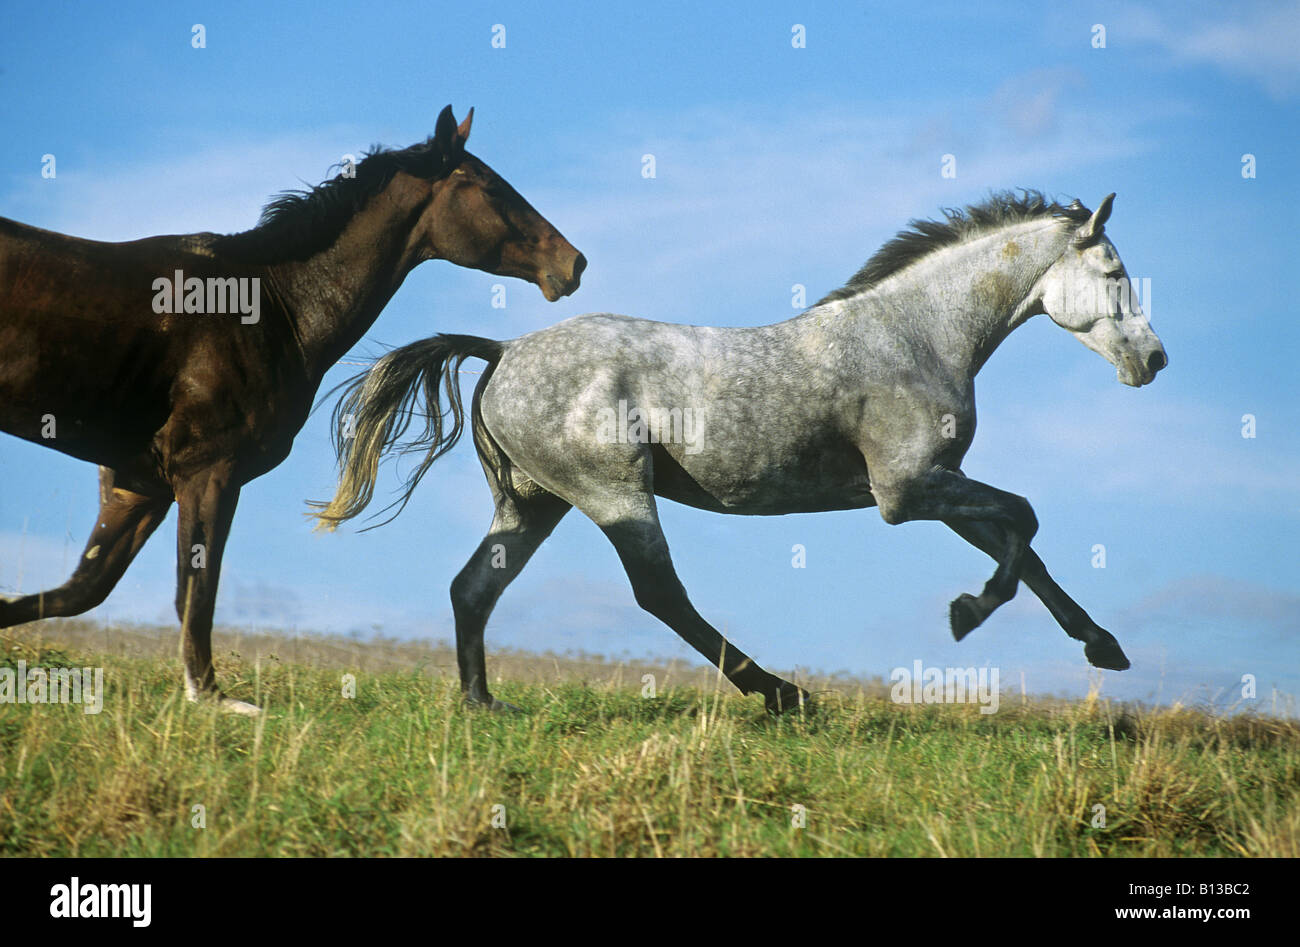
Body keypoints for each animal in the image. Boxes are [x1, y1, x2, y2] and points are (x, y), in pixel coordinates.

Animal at [0, 106, 585, 714]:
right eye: (491, 188)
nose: (573, 263)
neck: (269, 306)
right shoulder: (208, 472)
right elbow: (195, 593)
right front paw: (213, 697)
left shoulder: (138, 484)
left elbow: (78, 593)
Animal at [313, 190, 1166, 715]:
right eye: (1115, 270)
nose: (1154, 360)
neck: (914, 336)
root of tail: (503, 350)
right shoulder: (904, 491)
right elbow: (1026, 520)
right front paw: (967, 613)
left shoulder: (936, 483)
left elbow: (1025, 546)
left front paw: (1104, 646)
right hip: (614, 492)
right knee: (659, 593)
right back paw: (784, 693)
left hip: (535, 502)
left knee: (473, 589)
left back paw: (485, 703)